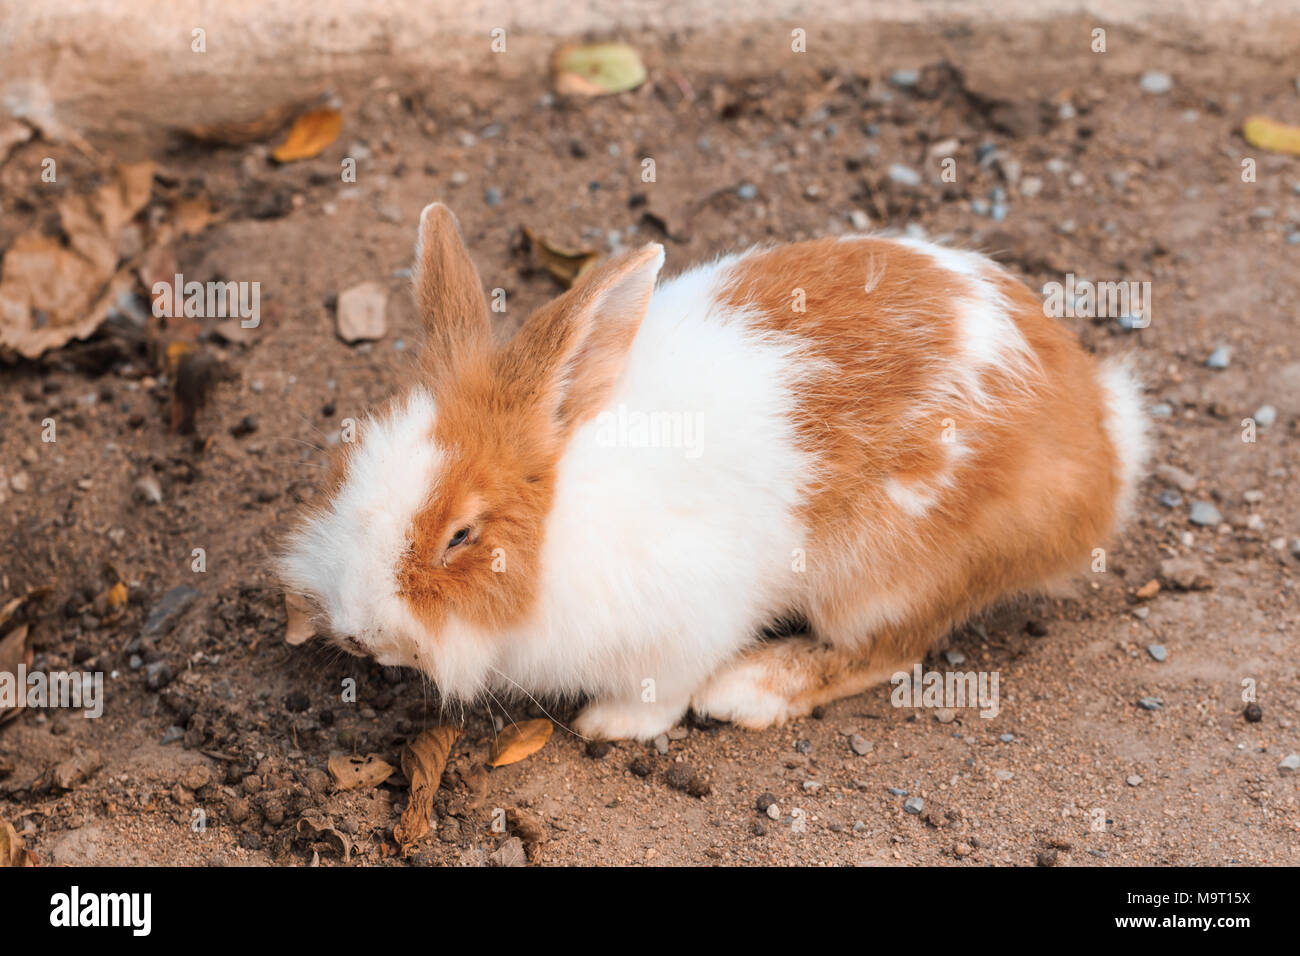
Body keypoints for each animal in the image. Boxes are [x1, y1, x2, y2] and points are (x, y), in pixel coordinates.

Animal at [278, 202, 1148, 741]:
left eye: (460, 535)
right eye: (346, 464)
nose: (359, 634)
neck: (561, 516)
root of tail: (1102, 448)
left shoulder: (685, 617)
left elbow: (658, 689)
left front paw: (610, 725)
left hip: (885, 571)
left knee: (889, 649)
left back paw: (748, 690)